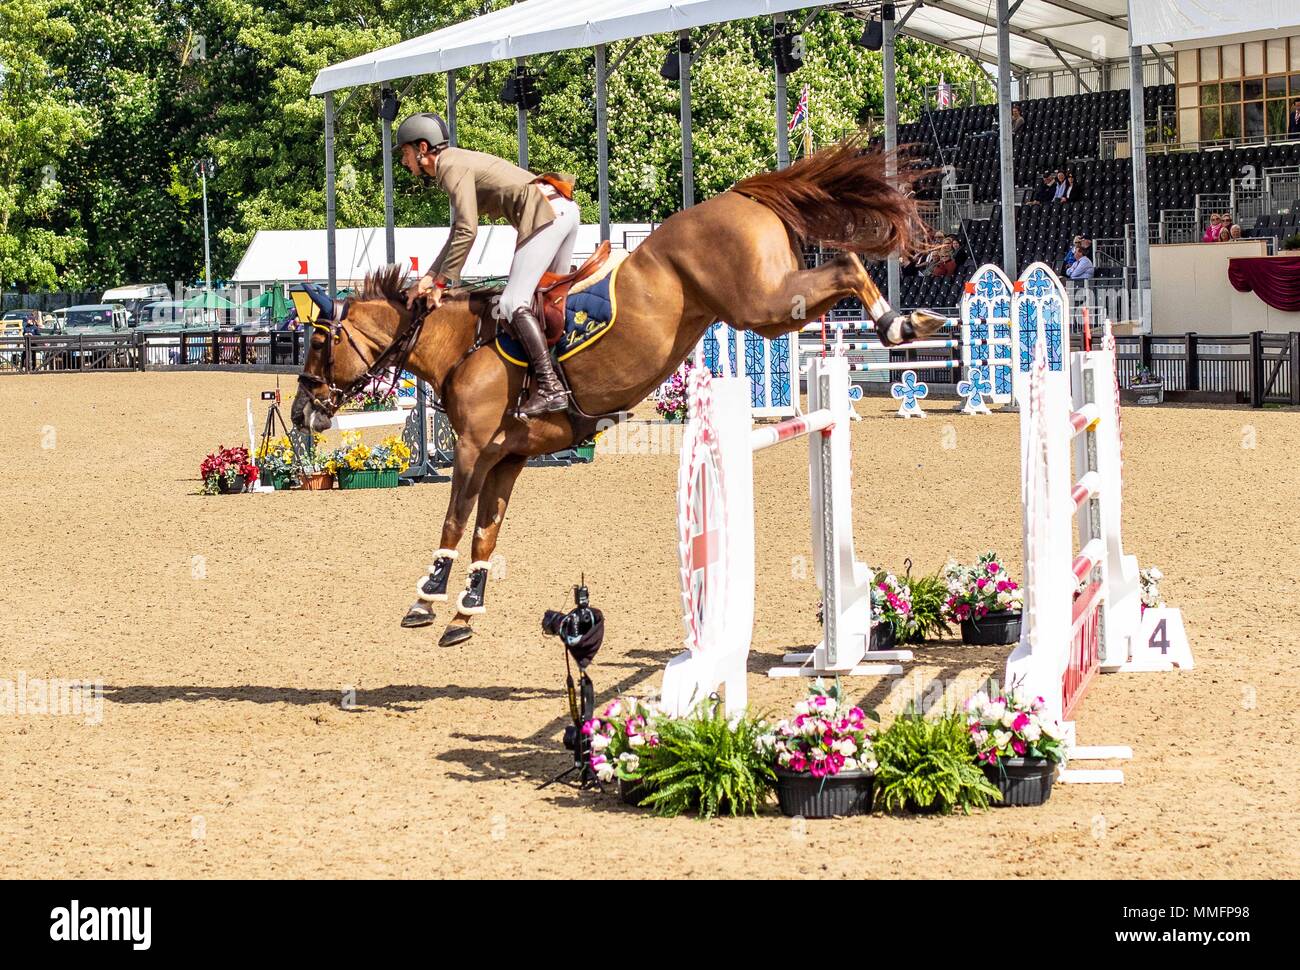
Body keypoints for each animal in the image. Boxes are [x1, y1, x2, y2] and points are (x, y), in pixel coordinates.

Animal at [292, 138, 945, 648]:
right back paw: (910, 322)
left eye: (319, 343)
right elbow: (486, 531)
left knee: (848, 265)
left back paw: (899, 324)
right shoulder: (507, 458)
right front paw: (466, 611)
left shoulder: (475, 450)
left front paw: (426, 597)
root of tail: (741, 194)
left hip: (761, 305)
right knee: (844, 266)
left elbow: (454, 521)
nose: (300, 413)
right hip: (769, 305)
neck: (461, 344)